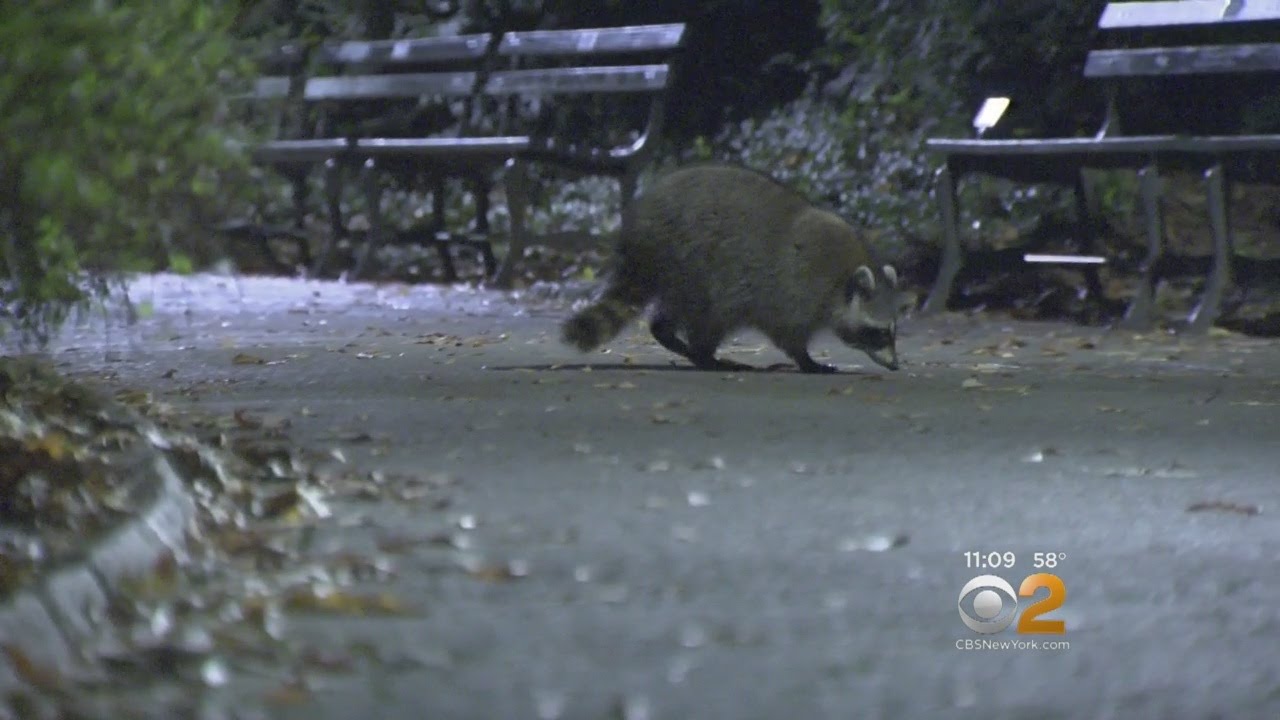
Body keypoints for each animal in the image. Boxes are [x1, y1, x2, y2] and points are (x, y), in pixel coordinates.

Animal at [561, 163, 901, 373]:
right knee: (711, 314)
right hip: (689, 261)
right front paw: (806, 361)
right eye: (880, 333)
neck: (843, 280)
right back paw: (704, 355)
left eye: (892, 332)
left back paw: (678, 341)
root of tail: (637, 234)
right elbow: (788, 333)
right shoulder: (795, 288)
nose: (896, 365)